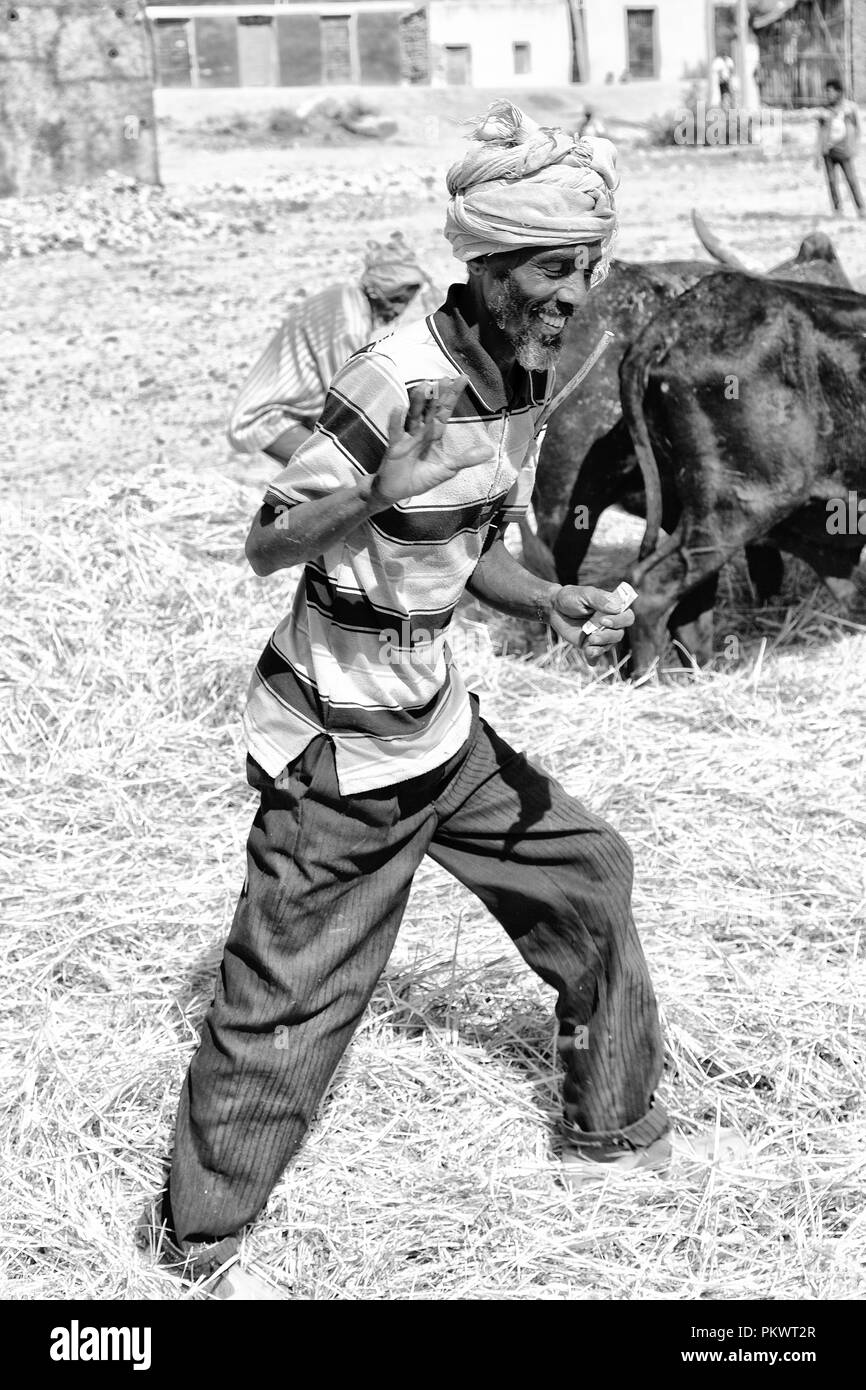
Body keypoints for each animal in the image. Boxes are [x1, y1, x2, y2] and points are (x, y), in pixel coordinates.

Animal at [616, 272, 866, 676]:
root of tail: (671, 323)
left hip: (699, 511)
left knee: (685, 606)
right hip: (739, 506)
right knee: (651, 591)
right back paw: (648, 680)